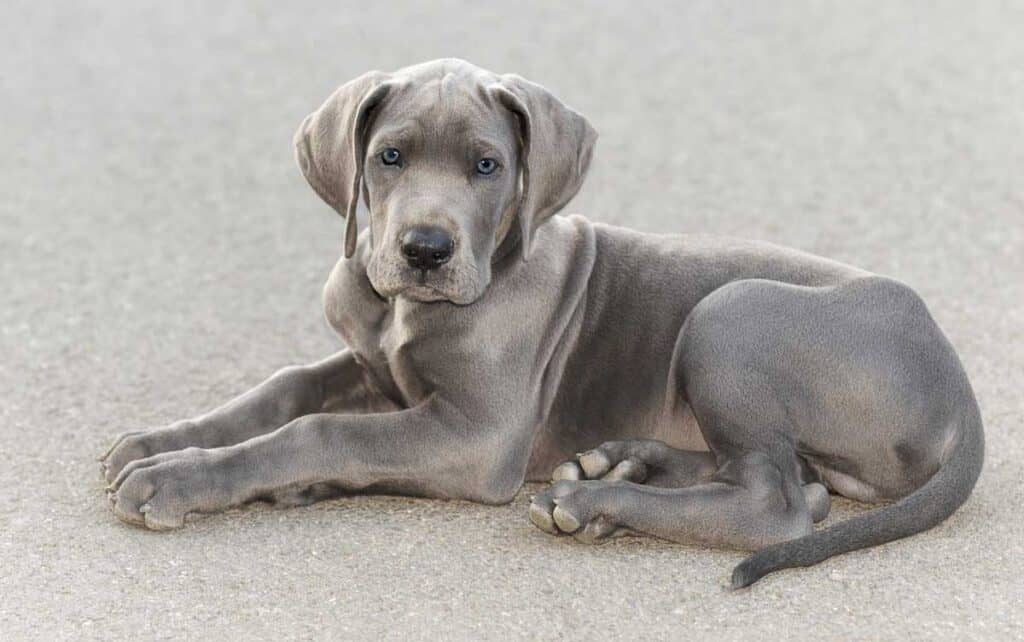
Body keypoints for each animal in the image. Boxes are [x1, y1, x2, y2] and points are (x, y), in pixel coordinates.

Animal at [97, 59, 983, 589]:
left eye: (487, 165)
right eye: (389, 156)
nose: (425, 250)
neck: (406, 311)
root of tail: (961, 392)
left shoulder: (476, 435)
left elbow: (319, 430)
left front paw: (177, 480)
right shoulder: (376, 368)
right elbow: (281, 392)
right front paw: (157, 442)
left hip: (729, 314)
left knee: (777, 501)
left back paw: (592, 505)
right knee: (784, 479)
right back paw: (617, 465)